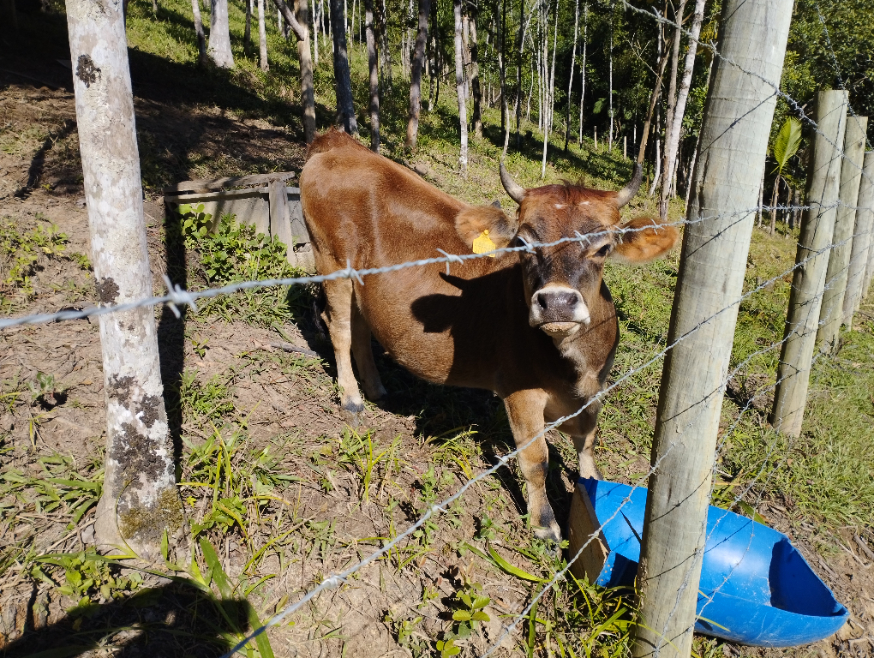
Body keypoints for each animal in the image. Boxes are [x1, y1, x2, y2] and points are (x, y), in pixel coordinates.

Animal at [299, 129, 677, 541]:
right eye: (524, 244)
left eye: (604, 247)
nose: (557, 302)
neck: (574, 366)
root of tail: (339, 142)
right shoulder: (520, 391)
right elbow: (536, 459)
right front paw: (544, 523)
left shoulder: (597, 384)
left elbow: (588, 438)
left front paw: (593, 488)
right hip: (330, 259)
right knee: (339, 328)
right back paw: (352, 398)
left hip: (363, 284)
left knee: (361, 328)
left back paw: (376, 387)